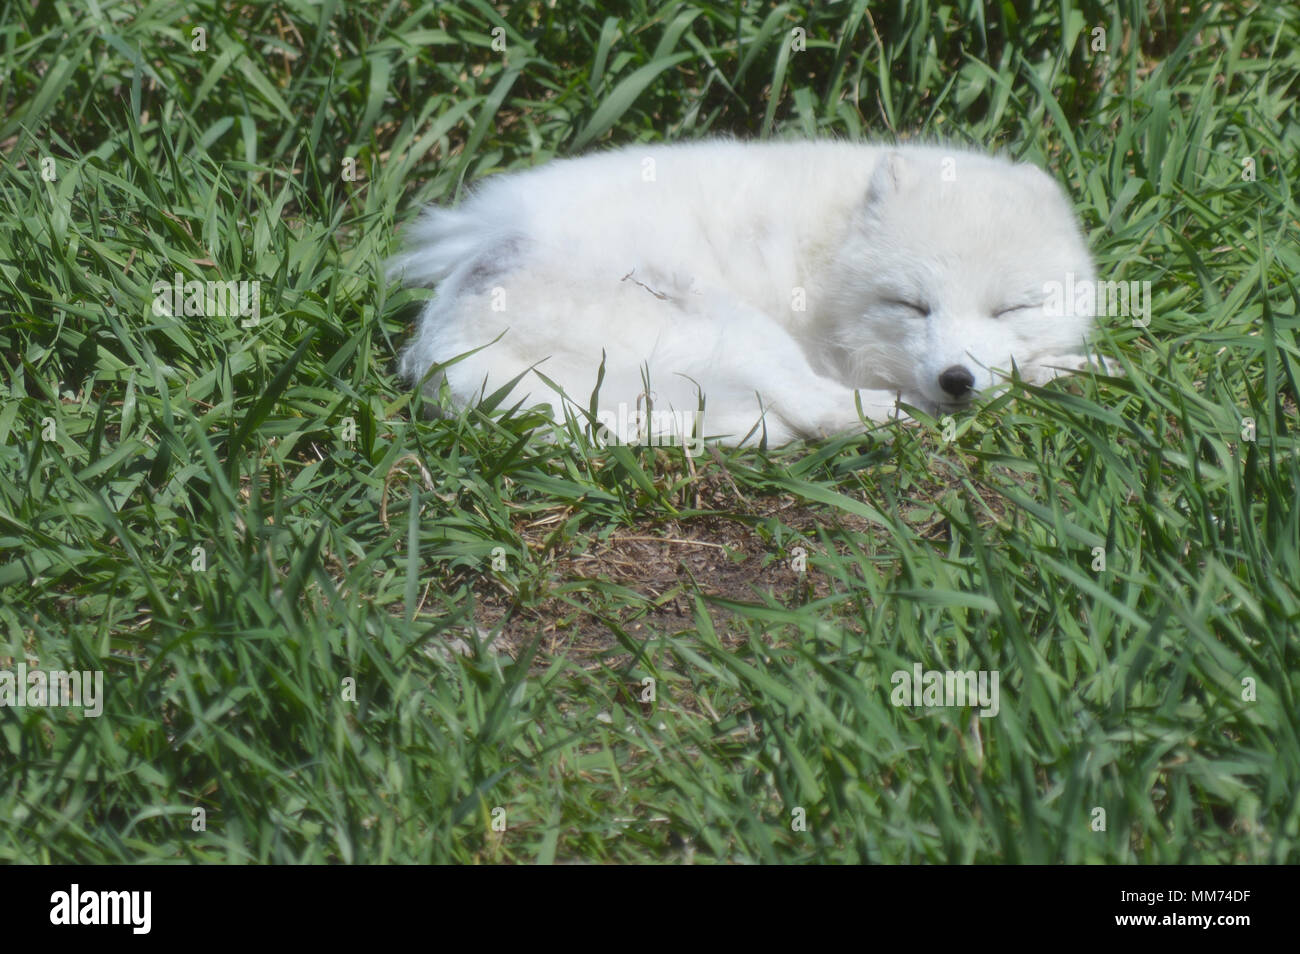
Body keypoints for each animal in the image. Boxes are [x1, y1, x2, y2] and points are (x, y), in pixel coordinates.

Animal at [391, 139, 1103, 446]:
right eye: (912, 306)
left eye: (1010, 308)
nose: (957, 379)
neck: (833, 245)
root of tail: (439, 351)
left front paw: (1065, 364)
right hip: (734, 326)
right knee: (817, 409)